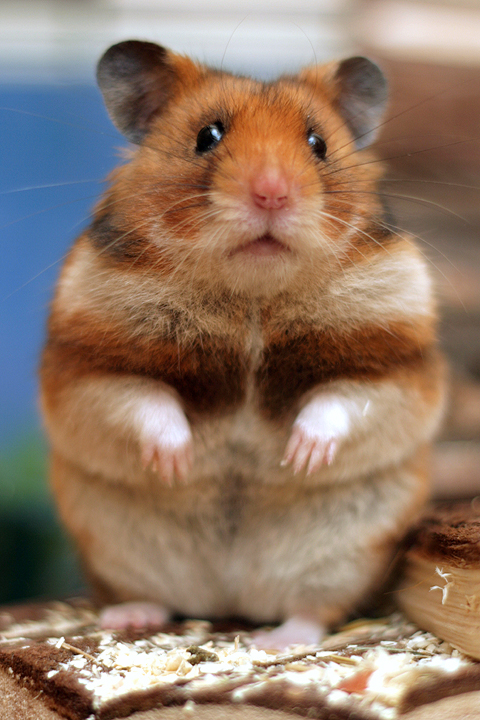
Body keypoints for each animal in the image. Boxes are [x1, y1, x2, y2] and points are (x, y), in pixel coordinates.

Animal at [39, 40, 446, 649]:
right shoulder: (89, 364)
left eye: (318, 144)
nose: (271, 194)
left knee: (312, 610)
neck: (253, 299)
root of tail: (228, 598)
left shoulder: (393, 363)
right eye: (207, 136)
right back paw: (129, 617)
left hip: (344, 557)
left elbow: (341, 400)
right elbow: (145, 402)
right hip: (112, 548)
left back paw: (275, 640)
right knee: (153, 596)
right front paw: (177, 464)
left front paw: (300, 457)